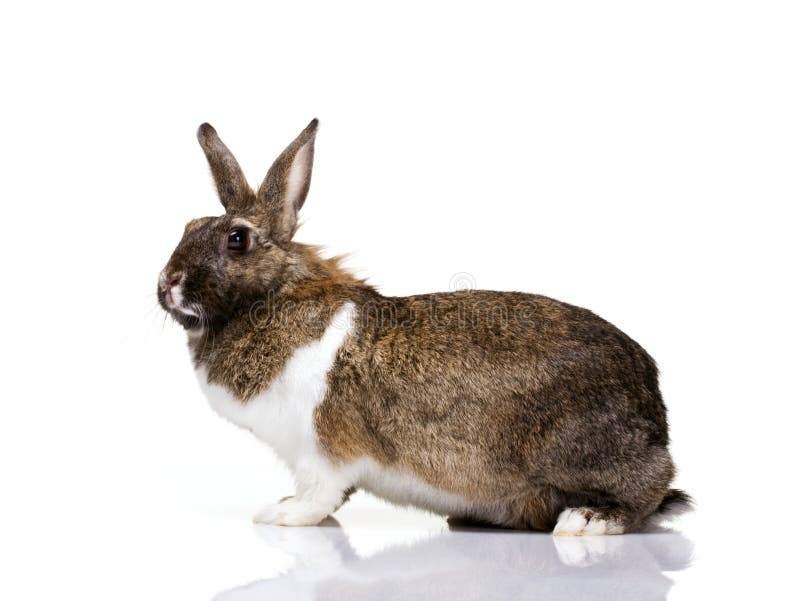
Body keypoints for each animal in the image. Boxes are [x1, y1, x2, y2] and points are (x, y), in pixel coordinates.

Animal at [157, 119, 691, 535]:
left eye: (237, 238)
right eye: (188, 227)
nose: (166, 283)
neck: (270, 298)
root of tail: (654, 408)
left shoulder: (323, 448)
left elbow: (319, 492)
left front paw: (283, 514)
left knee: (651, 487)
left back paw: (588, 520)